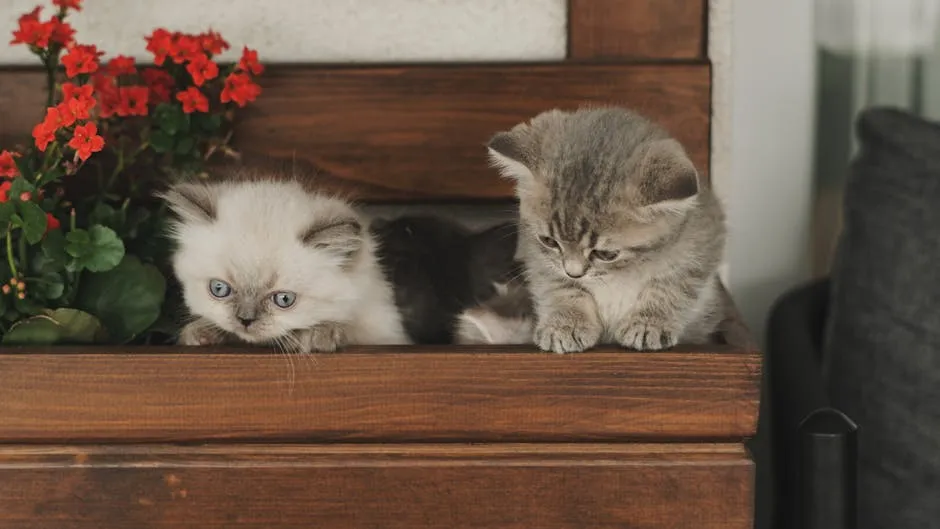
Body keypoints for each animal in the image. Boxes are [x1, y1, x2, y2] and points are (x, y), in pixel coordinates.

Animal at [160, 167, 410, 352]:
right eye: (219, 289)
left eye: (284, 299)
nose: (245, 321)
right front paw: (200, 333)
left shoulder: (389, 336)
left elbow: (353, 331)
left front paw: (317, 334)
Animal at [484, 107, 728, 352]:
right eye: (549, 241)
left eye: (606, 254)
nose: (574, 272)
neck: (621, 273)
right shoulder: (538, 258)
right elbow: (558, 287)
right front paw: (566, 324)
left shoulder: (701, 243)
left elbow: (673, 286)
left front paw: (648, 323)